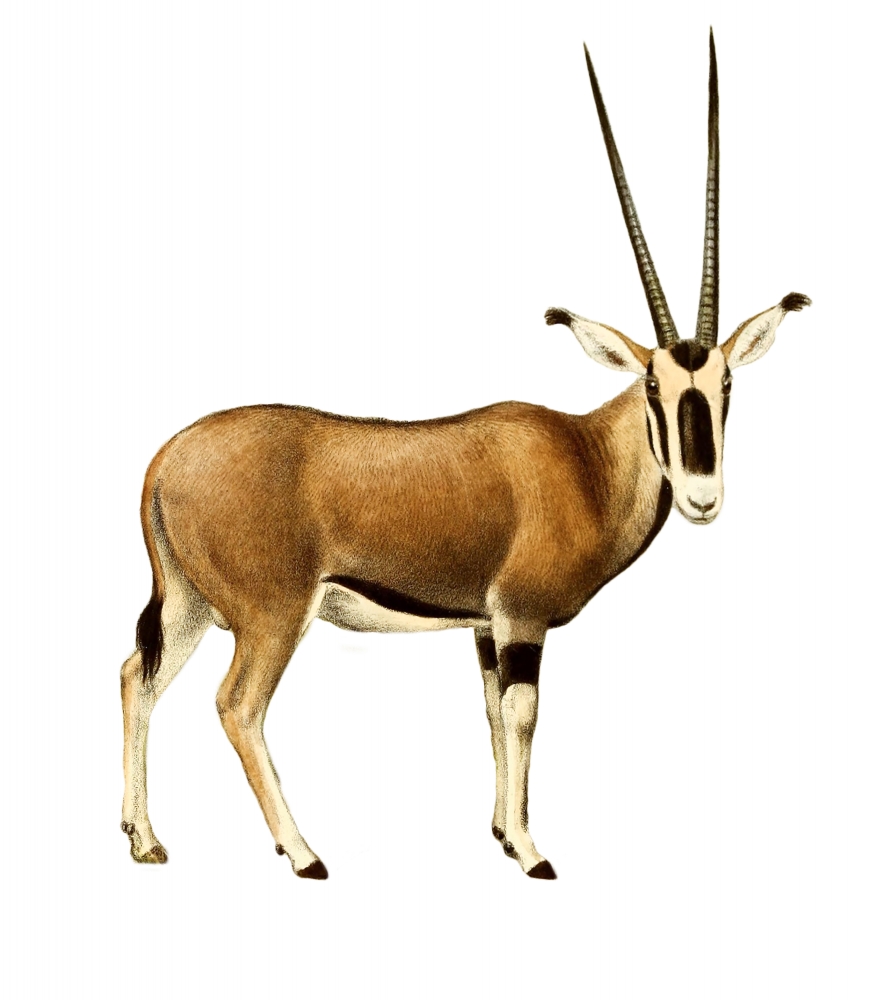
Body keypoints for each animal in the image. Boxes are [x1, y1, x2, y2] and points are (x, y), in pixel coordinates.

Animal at [120, 31, 809, 880]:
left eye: (724, 383)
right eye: (653, 382)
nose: (703, 496)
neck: (585, 456)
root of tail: (165, 460)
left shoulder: (485, 627)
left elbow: (489, 715)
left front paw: (501, 833)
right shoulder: (522, 619)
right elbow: (523, 715)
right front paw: (532, 851)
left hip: (187, 603)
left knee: (139, 677)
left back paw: (145, 839)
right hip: (271, 616)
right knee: (236, 705)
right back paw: (304, 853)